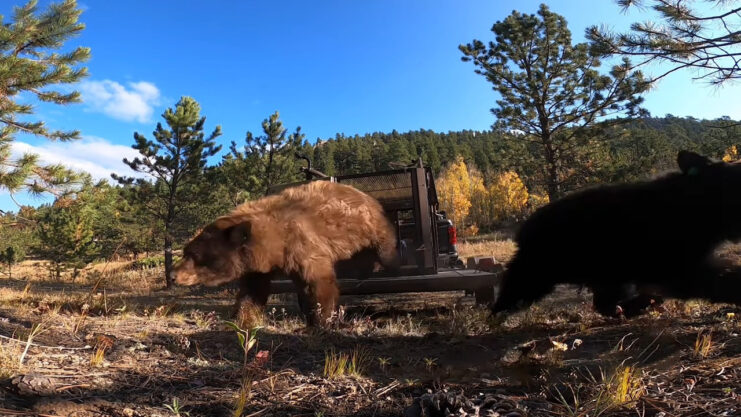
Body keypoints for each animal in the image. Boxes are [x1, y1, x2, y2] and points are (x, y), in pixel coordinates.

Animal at [172, 180, 400, 327]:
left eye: (195, 256)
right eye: (185, 252)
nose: (173, 275)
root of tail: (371, 197)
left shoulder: (304, 245)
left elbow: (319, 283)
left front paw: (320, 322)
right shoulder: (257, 266)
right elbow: (252, 291)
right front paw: (240, 318)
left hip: (373, 229)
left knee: (385, 249)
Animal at [491, 150, 741, 318]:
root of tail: (524, 228)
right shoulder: (677, 264)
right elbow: (719, 279)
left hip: (606, 269)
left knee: (604, 299)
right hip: (541, 269)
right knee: (514, 291)